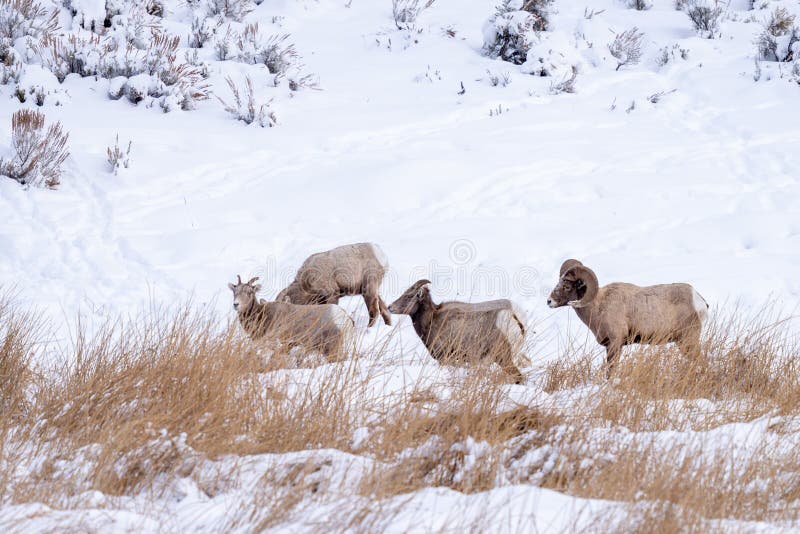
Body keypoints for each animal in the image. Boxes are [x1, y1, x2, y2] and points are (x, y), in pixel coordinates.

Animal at [388, 279, 530, 384]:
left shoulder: (445, 359)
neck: (431, 320)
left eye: (409, 296)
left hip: (503, 358)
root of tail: (513, 316)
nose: (390, 307)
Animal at [547, 259, 709, 375]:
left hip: (688, 341)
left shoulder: (615, 344)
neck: (598, 306)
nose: (549, 301)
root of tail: (700, 301)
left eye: (567, 287)